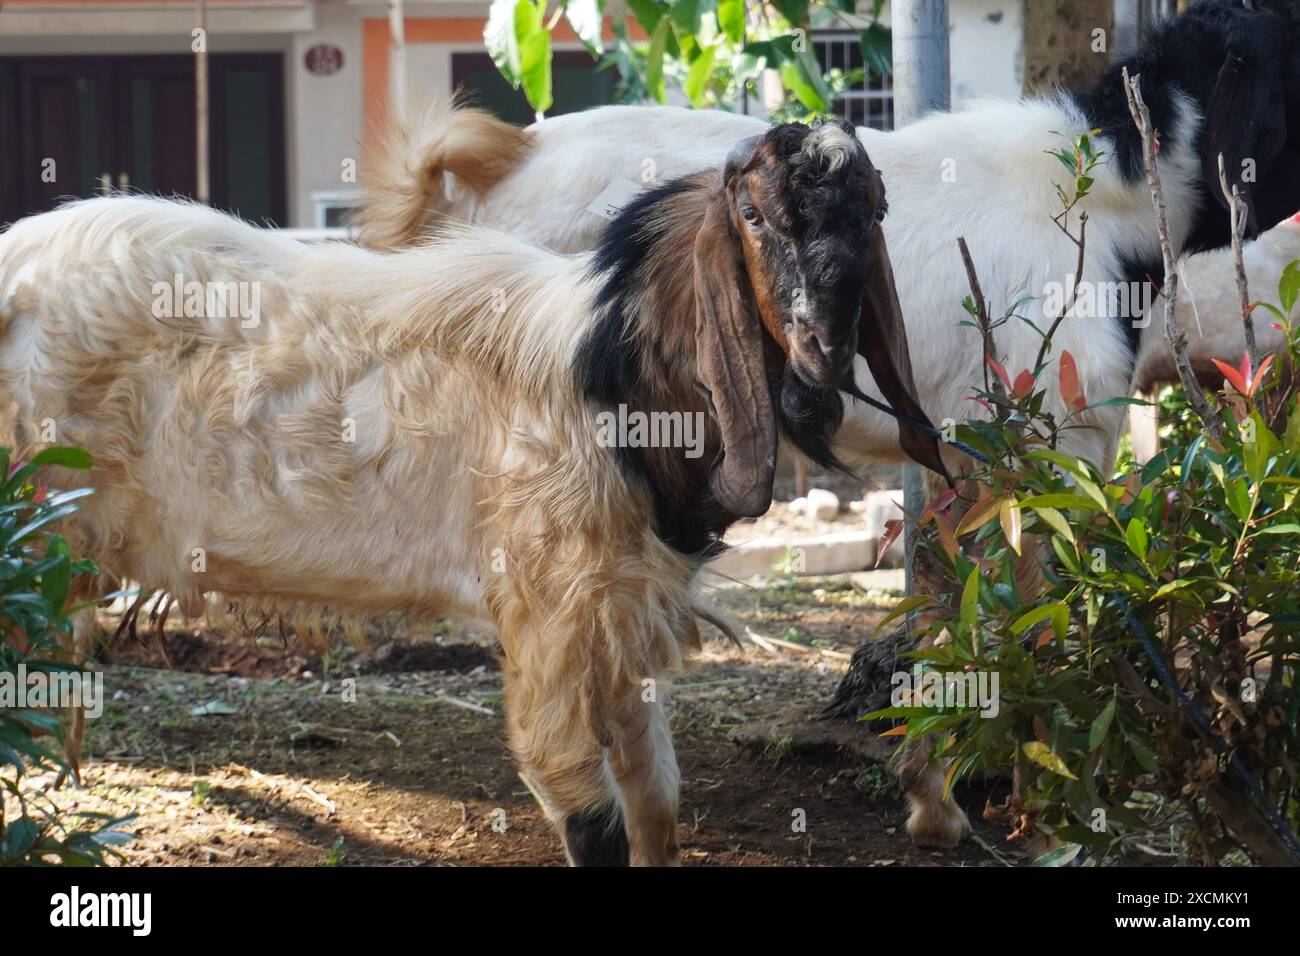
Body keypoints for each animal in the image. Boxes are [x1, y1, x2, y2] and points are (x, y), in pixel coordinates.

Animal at [0, 123, 944, 865]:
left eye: (875, 214)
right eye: (752, 216)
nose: (823, 356)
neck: (608, 379)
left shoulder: (621, 608)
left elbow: (657, 804)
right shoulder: (549, 608)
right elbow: (586, 807)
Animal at [357, 0, 1300, 849]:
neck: (1100, 193)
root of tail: (504, 162)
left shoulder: (972, 455)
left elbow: (949, 608)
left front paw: (934, 800)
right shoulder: (1055, 448)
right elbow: (1042, 628)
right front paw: (1049, 814)